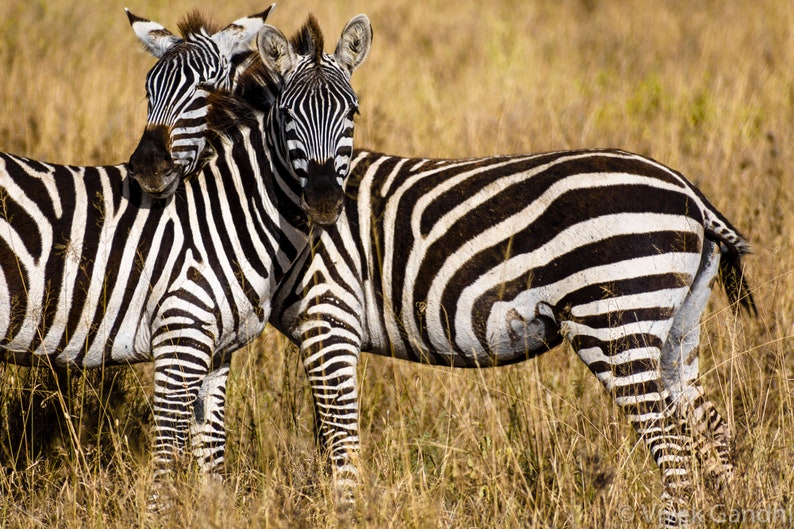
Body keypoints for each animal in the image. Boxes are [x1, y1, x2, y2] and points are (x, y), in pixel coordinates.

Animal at [0, 9, 371, 508]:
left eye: (351, 112)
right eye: (288, 115)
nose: (324, 200)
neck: (222, 215)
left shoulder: (216, 352)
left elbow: (210, 454)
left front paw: (213, 511)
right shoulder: (180, 338)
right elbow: (164, 463)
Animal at [261, 147, 755, 523]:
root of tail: (689, 191)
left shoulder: (328, 313)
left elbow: (337, 440)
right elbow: (326, 437)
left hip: (618, 321)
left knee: (675, 452)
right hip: (677, 333)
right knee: (715, 434)